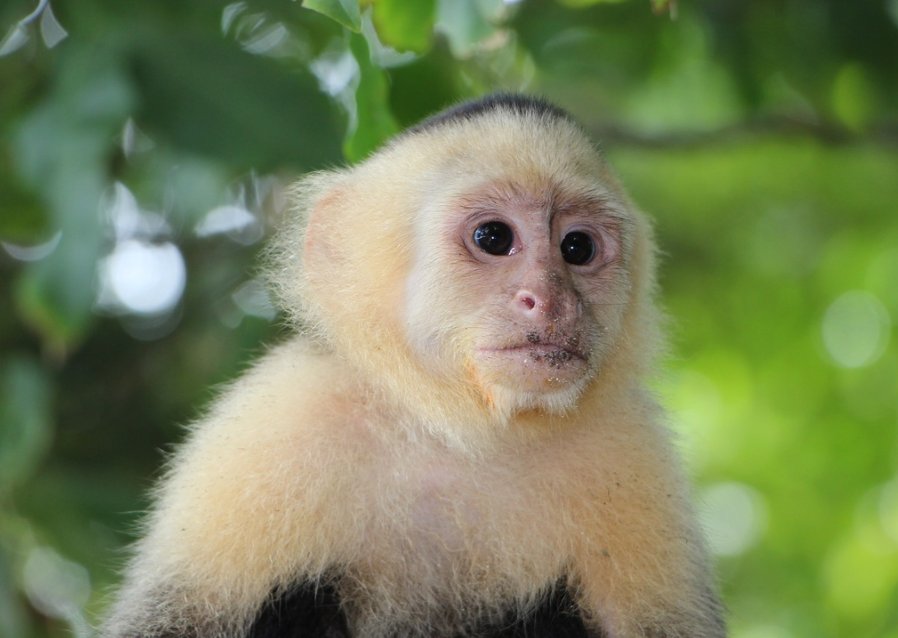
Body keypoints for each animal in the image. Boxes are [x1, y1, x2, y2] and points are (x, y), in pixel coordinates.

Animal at [101, 94, 726, 638]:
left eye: (577, 248)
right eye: (493, 237)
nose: (550, 300)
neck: (460, 434)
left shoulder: (632, 449)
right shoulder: (277, 420)